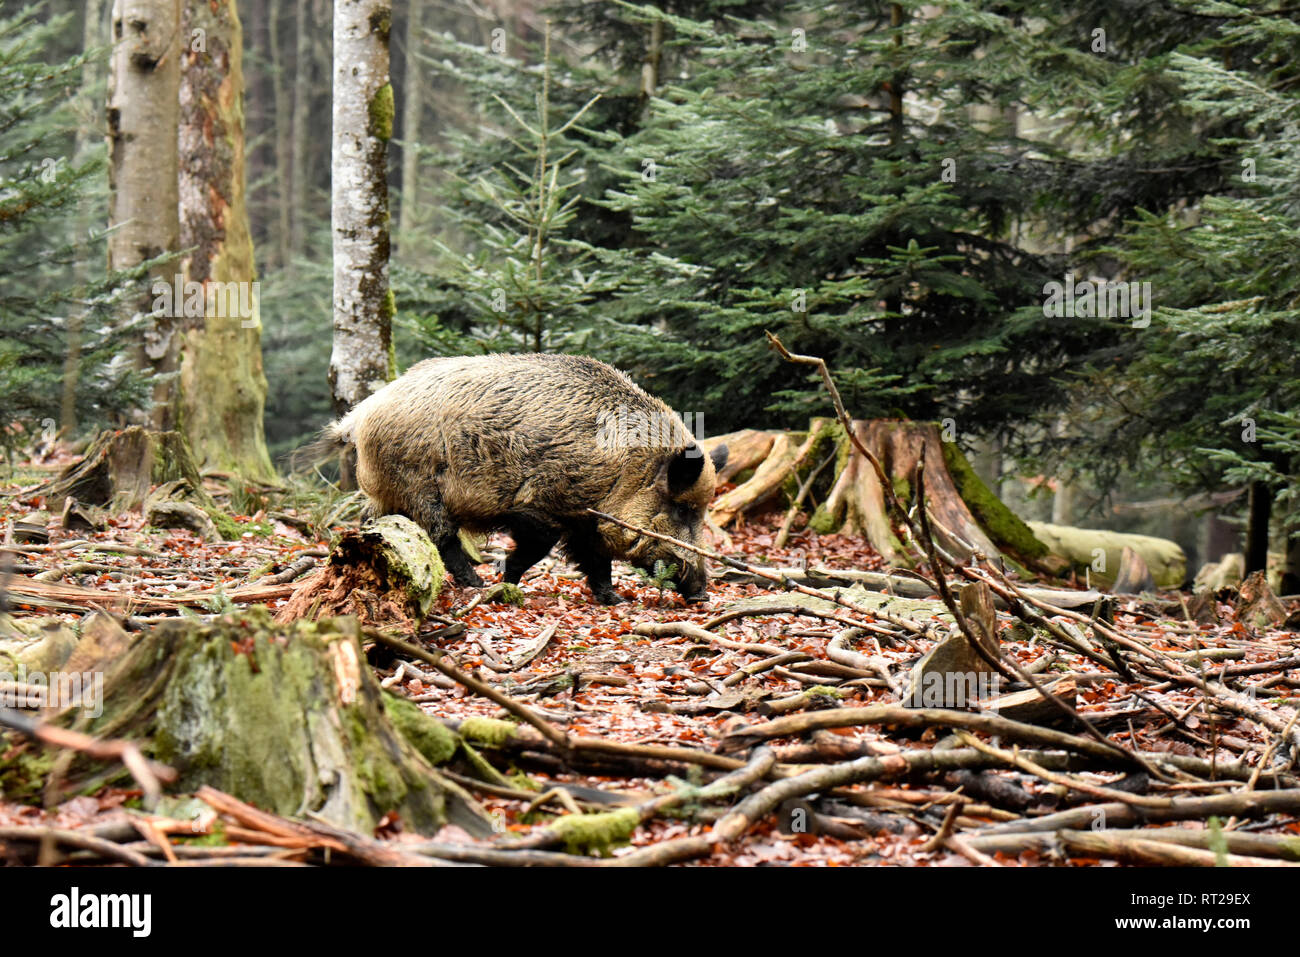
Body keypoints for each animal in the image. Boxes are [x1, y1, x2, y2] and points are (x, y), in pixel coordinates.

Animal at [309, 354, 728, 603]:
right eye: (682, 510)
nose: (702, 593)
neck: (626, 469)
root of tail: (360, 415)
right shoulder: (541, 505)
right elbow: (539, 548)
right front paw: (505, 580)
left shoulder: (586, 520)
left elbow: (596, 560)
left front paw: (614, 599)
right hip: (420, 490)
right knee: (443, 538)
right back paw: (474, 583)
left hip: (387, 492)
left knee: (372, 521)